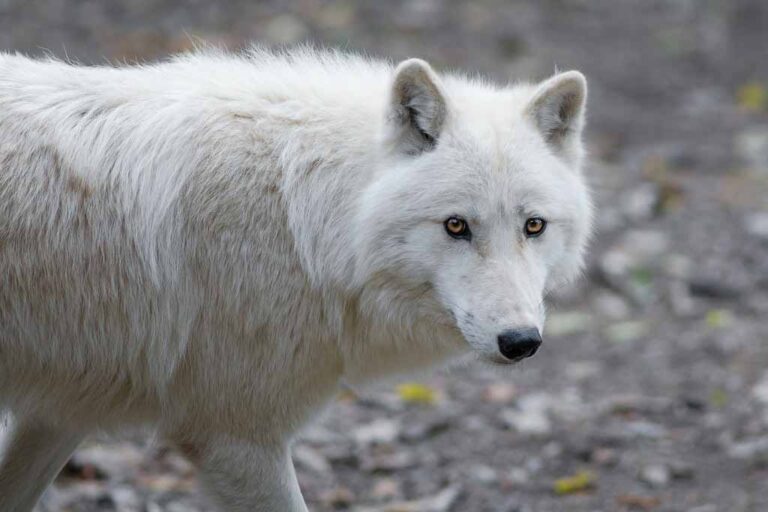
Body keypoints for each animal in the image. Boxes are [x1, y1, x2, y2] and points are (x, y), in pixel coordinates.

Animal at [0, 48, 592, 511]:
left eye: (533, 226)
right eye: (456, 226)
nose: (521, 341)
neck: (303, 222)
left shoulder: (60, 412)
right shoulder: (235, 438)